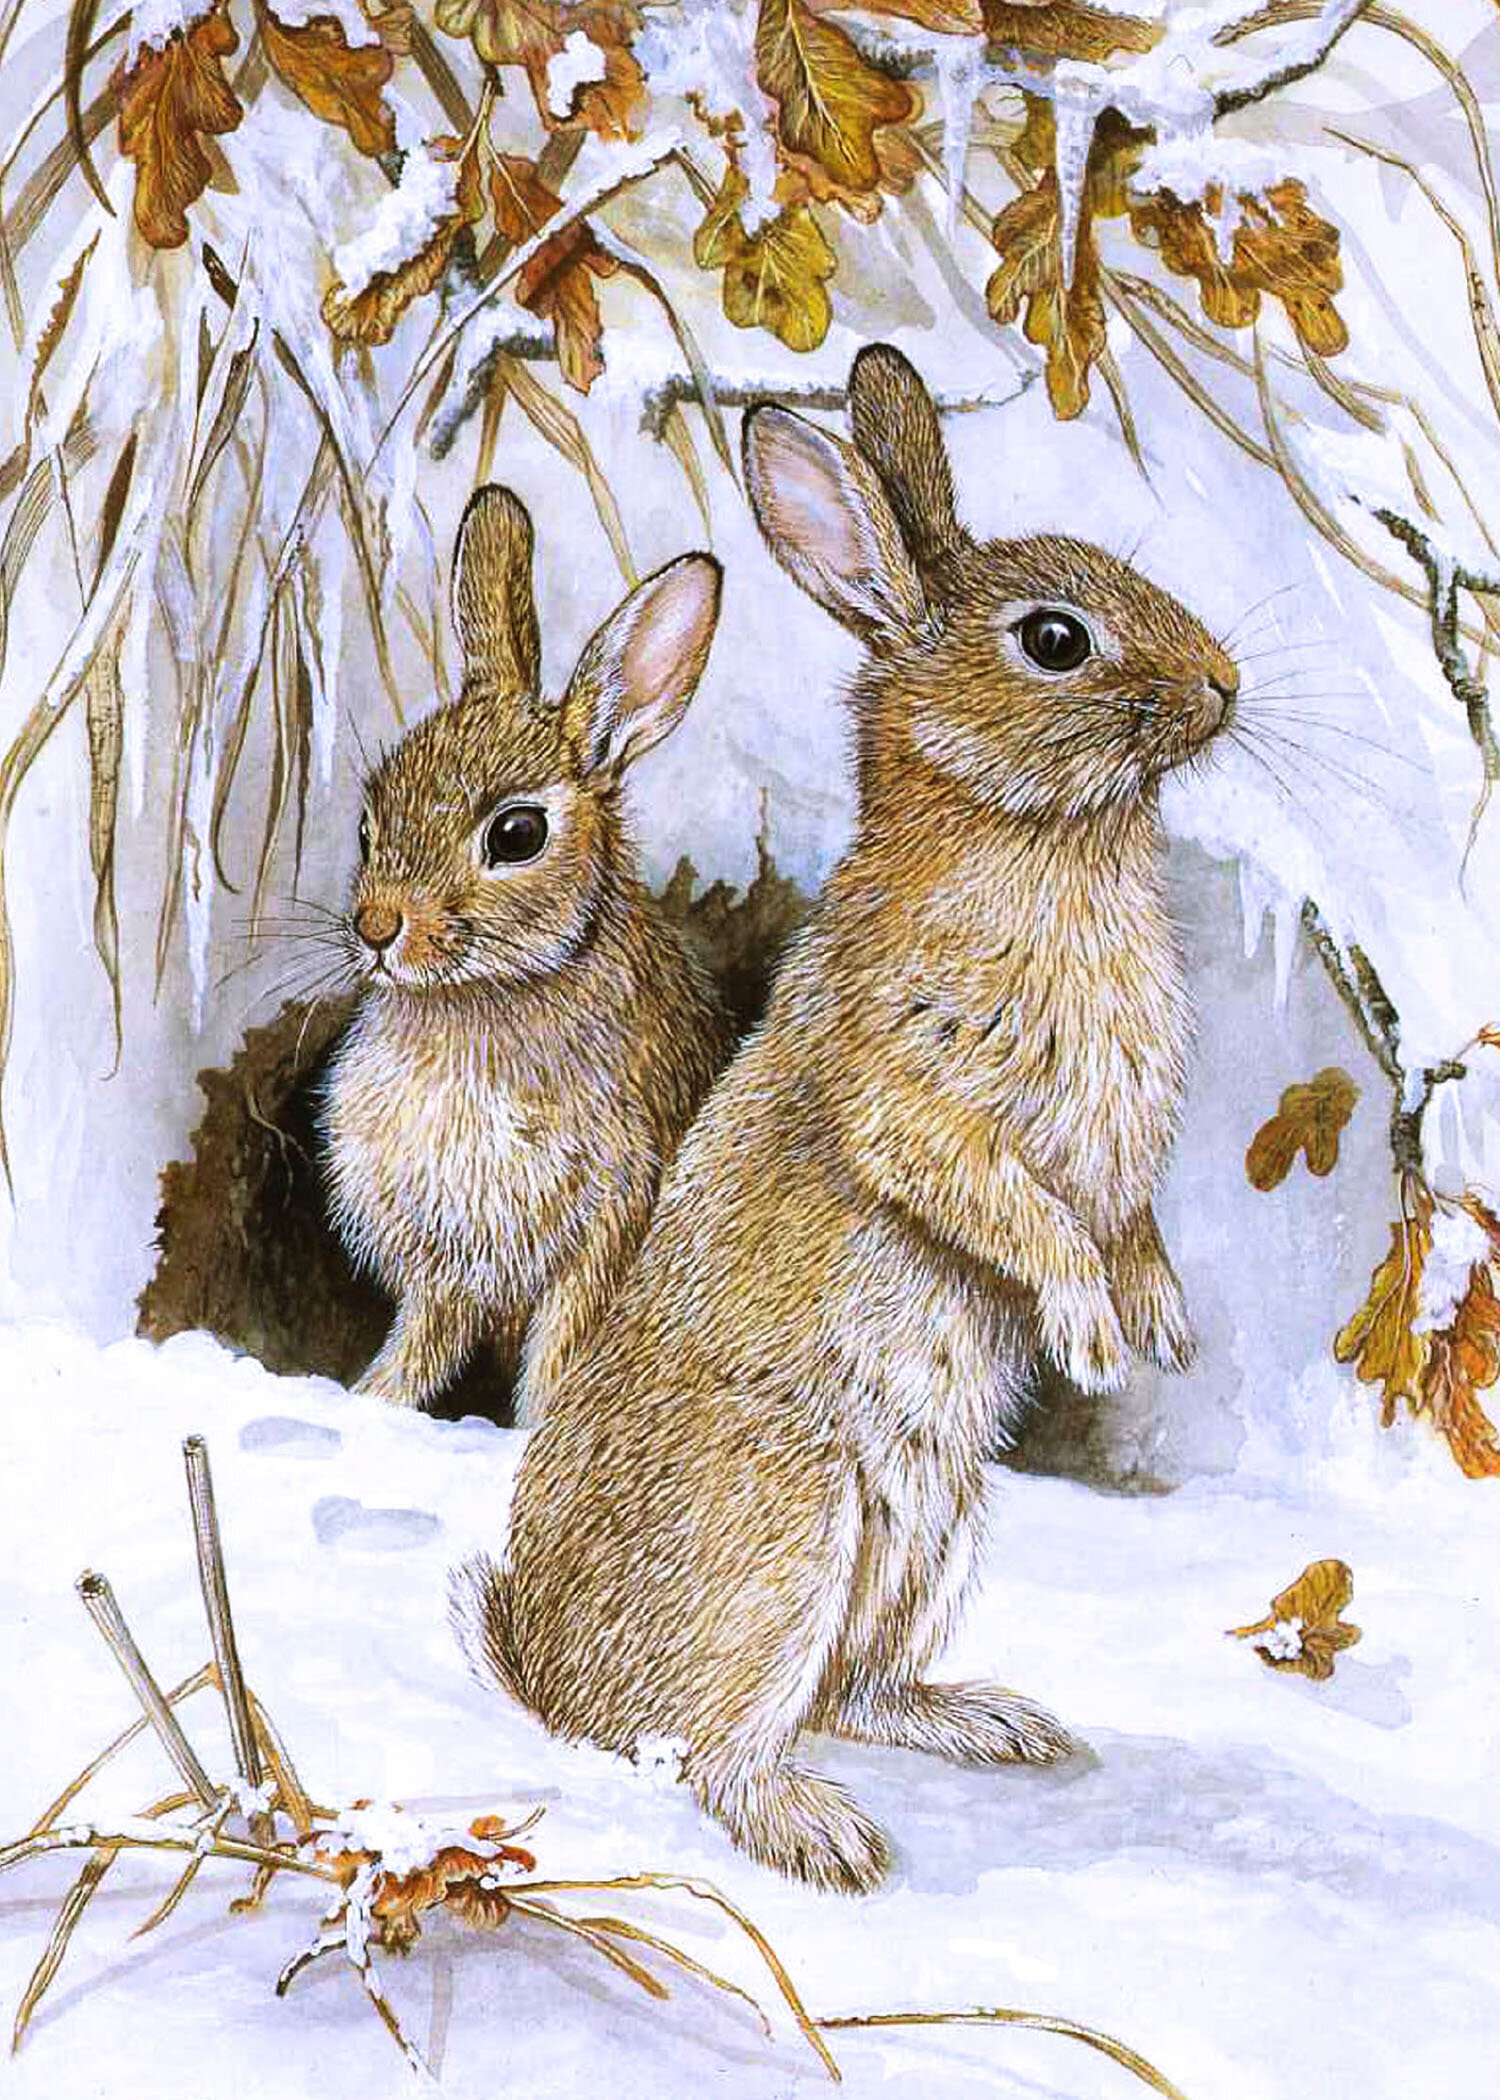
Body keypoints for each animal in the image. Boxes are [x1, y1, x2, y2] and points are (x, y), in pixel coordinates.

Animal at [320, 484, 734, 1416]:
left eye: (517, 834)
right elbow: (423, 1345)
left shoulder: (608, 1232)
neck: (487, 995)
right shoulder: (445, 1265)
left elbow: (562, 1357)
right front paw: (373, 1401)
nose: (377, 927)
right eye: (365, 824)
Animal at [454, 345, 1238, 1893]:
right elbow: (1011, 1205)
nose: (1224, 687)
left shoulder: (1121, 1162)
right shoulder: (913, 1099)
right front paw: (1092, 1333)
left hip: (929, 1533)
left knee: (854, 1694)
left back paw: (994, 1724)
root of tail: (543, 1676)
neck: (1040, 847)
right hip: (790, 1526)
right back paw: (821, 1833)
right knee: (709, 1748)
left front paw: (1165, 1328)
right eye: (1053, 639)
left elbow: (1132, 1222)